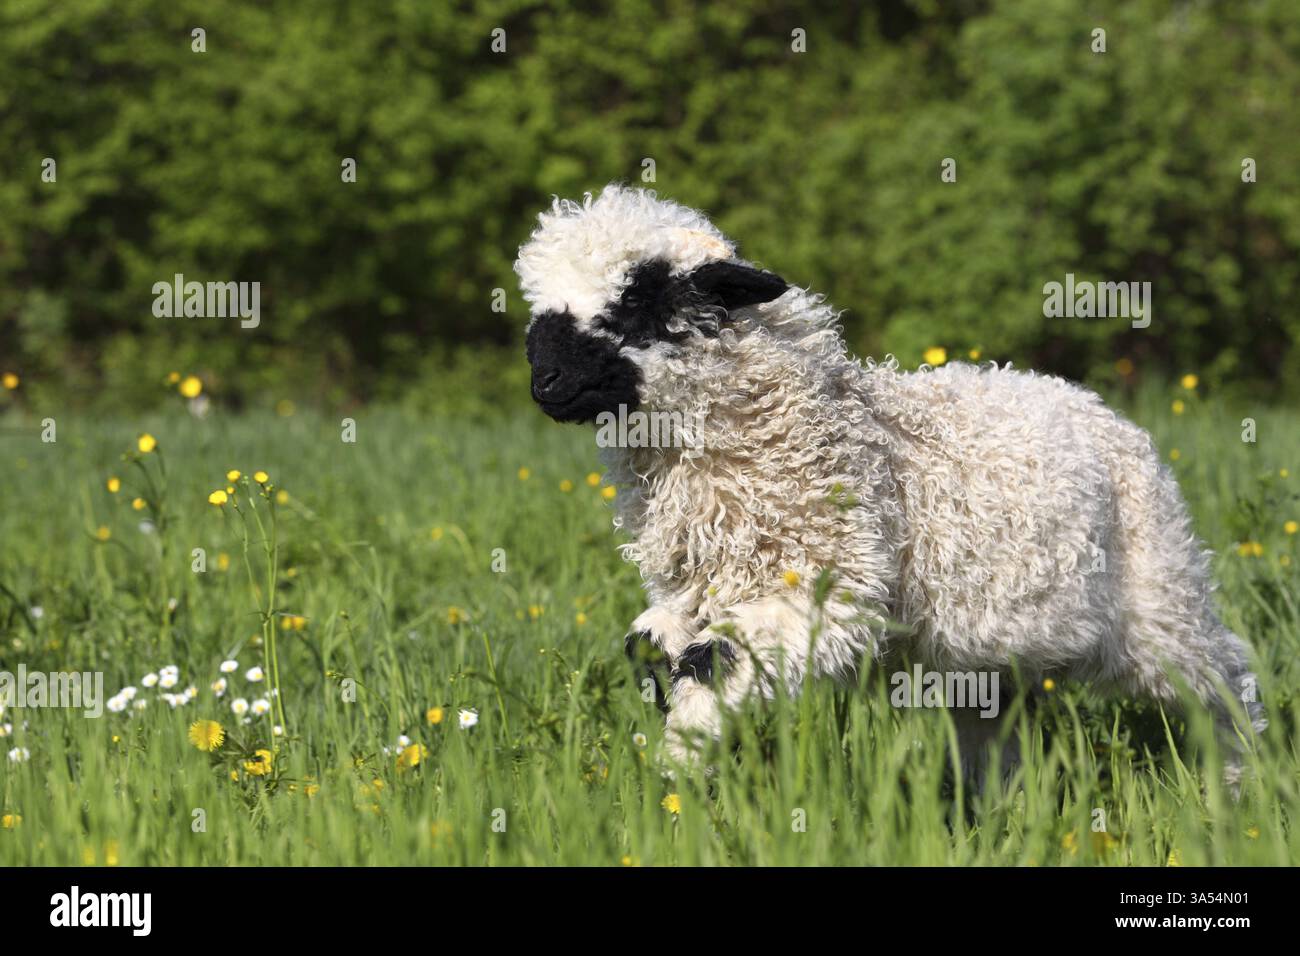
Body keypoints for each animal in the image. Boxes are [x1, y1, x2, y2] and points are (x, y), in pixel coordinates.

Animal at [514, 183, 1265, 779]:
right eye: (539, 313)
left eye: (636, 301)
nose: (544, 383)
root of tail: (1091, 403)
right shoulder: (694, 587)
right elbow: (653, 646)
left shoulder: (834, 588)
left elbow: (715, 660)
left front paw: (680, 768)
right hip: (993, 655)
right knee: (998, 730)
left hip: (1160, 593)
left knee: (1224, 679)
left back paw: (1238, 787)